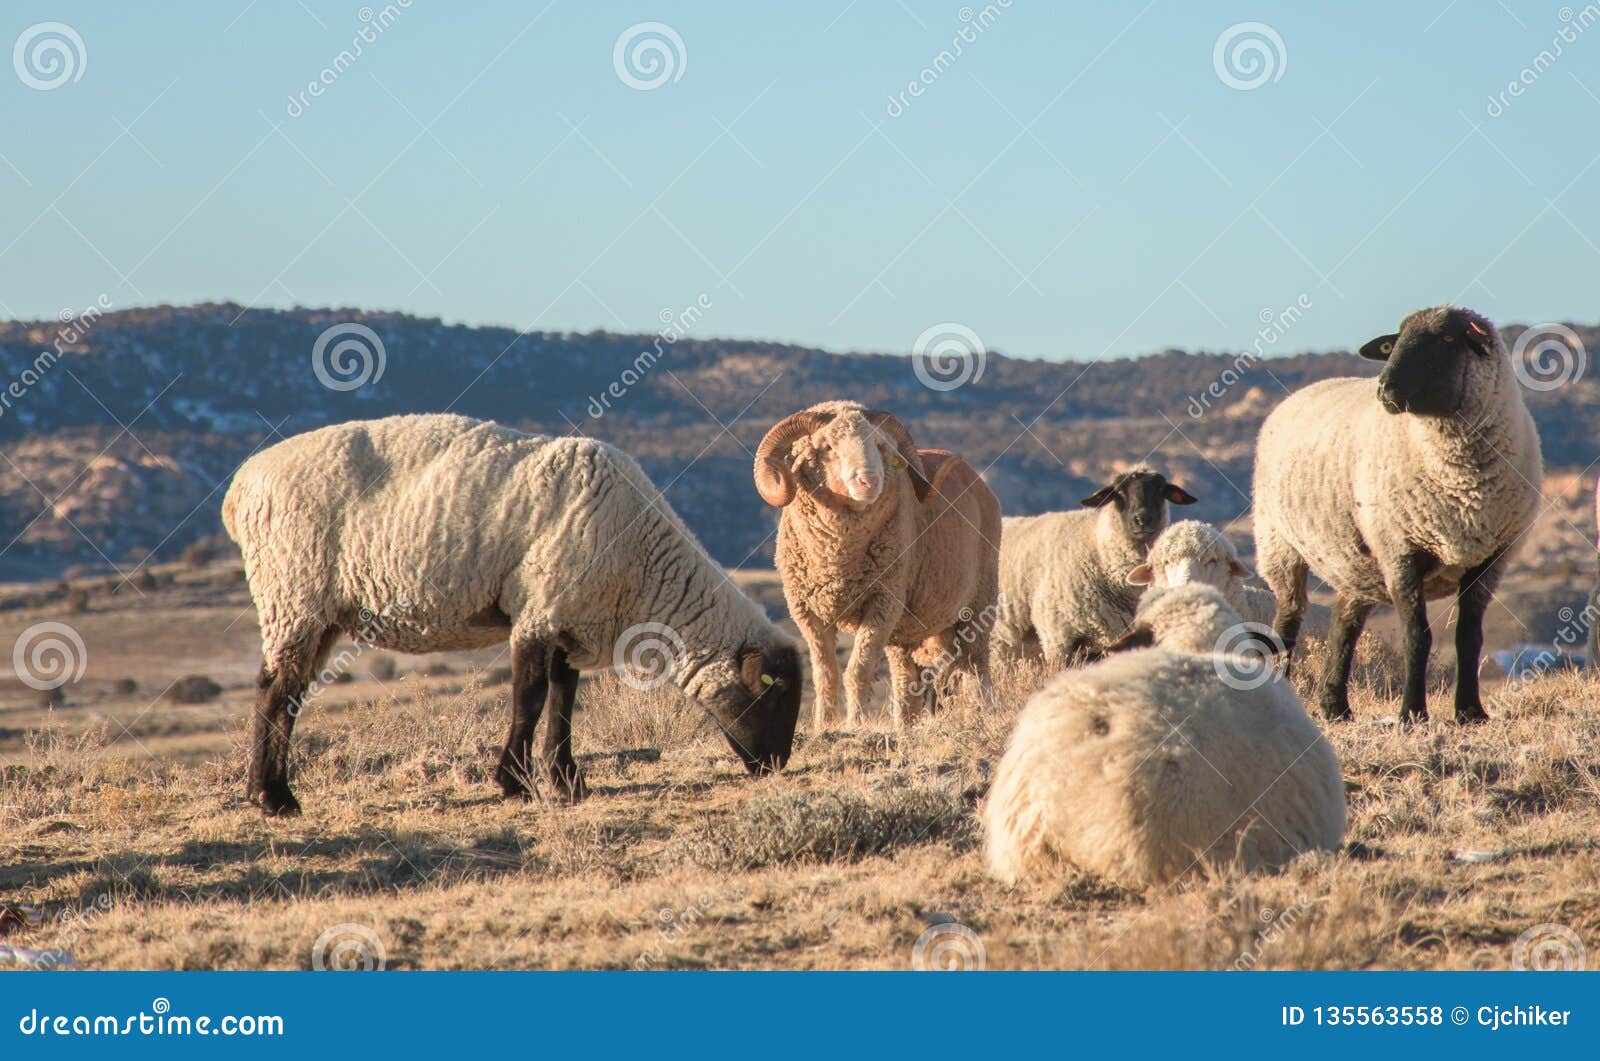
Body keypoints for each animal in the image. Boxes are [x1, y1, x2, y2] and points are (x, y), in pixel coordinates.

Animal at [222, 413, 802, 816]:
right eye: (773, 694)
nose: (776, 767)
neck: (644, 566)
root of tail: (240, 487)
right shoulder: (538, 612)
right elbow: (530, 696)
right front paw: (514, 783)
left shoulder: (568, 621)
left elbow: (565, 700)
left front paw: (566, 780)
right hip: (292, 591)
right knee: (273, 690)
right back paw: (271, 799)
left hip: (316, 611)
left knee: (289, 693)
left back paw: (270, 791)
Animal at [754, 400, 1001, 730]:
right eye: (826, 446)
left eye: (880, 445)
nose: (869, 481)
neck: (838, 560)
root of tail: (980, 484)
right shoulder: (807, 611)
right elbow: (825, 674)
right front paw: (824, 725)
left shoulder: (882, 604)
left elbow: (857, 671)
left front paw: (855, 724)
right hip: (907, 628)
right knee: (906, 677)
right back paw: (905, 725)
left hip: (978, 604)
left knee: (975, 666)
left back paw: (980, 714)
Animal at [1253, 306, 1542, 724]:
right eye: (1394, 343)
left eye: (1448, 339)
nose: (1384, 391)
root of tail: (1299, 395)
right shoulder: (1400, 551)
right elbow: (1417, 636)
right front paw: (1411, 713)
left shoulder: (1490, 559)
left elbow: (1469, 638)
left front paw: (1470, 712)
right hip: (1279, 542)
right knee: (1288, 620)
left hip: (1357, 561)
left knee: (1344, 624)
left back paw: (1335, 706)